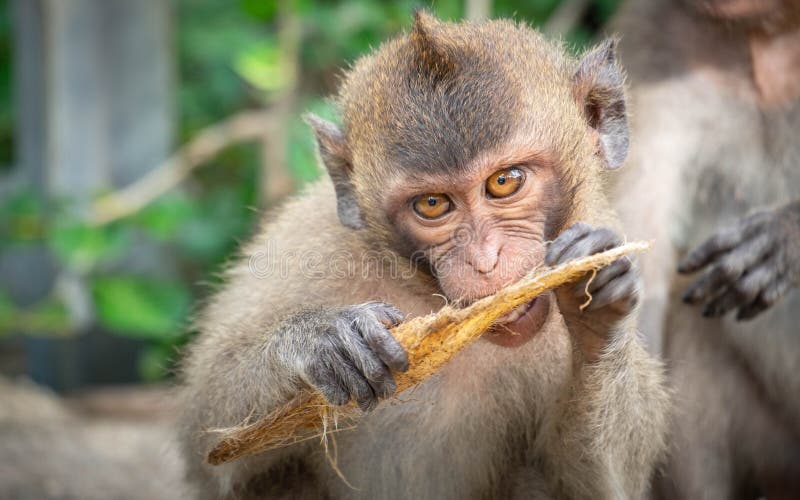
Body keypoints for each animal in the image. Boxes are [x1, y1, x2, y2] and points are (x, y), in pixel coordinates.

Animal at [178, 12, 670, 500]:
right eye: (432, 204)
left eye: (504, 181)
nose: (484, 259)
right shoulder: (308, 243)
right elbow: (207, 446)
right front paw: (319, 341)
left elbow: (590, 486)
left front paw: (599, 305)